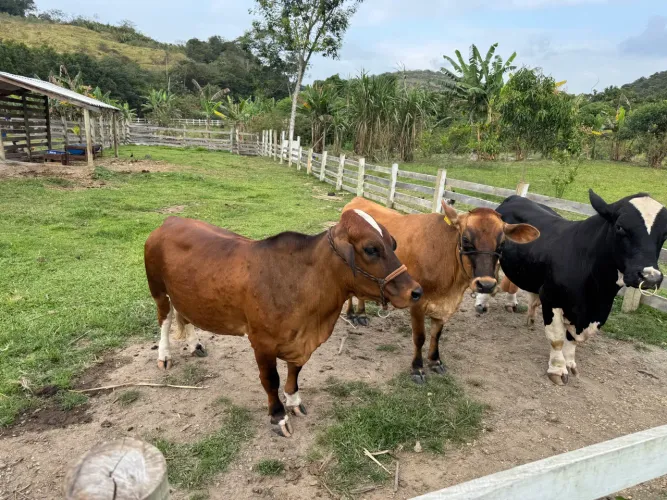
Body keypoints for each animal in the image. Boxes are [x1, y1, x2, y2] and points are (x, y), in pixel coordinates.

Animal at [144, 210, 422, 437]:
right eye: (371, 249)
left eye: (393, 244)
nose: (416, 291)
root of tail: (170, 221)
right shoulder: (261, 342)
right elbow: (271, 380)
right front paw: (278, 416)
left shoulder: (299, 342)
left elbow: (294, 372)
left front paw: (294, 401)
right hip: (158, 291)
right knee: (165, 320)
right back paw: (165, 355)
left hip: (185, 294)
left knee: (185, 317)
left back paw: (195, 345)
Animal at [343, 197, 540, 383]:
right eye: (465, 239)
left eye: (503, 243)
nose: (486, 285)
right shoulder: (417, 302)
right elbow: (420, 337)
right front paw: (417, 368)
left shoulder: (445, 306)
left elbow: (436, 335)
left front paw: (435, 361)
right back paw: (353, 314)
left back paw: (361, 314)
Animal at [493, 190, 666, 385]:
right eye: (620, 227)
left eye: (665, 234)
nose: (650, 277)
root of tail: (516, 198)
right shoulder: (551, 297)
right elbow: (557, 338)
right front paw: (557, 369)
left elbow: (572, 339)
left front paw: (569, 362)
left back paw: (528, 314)